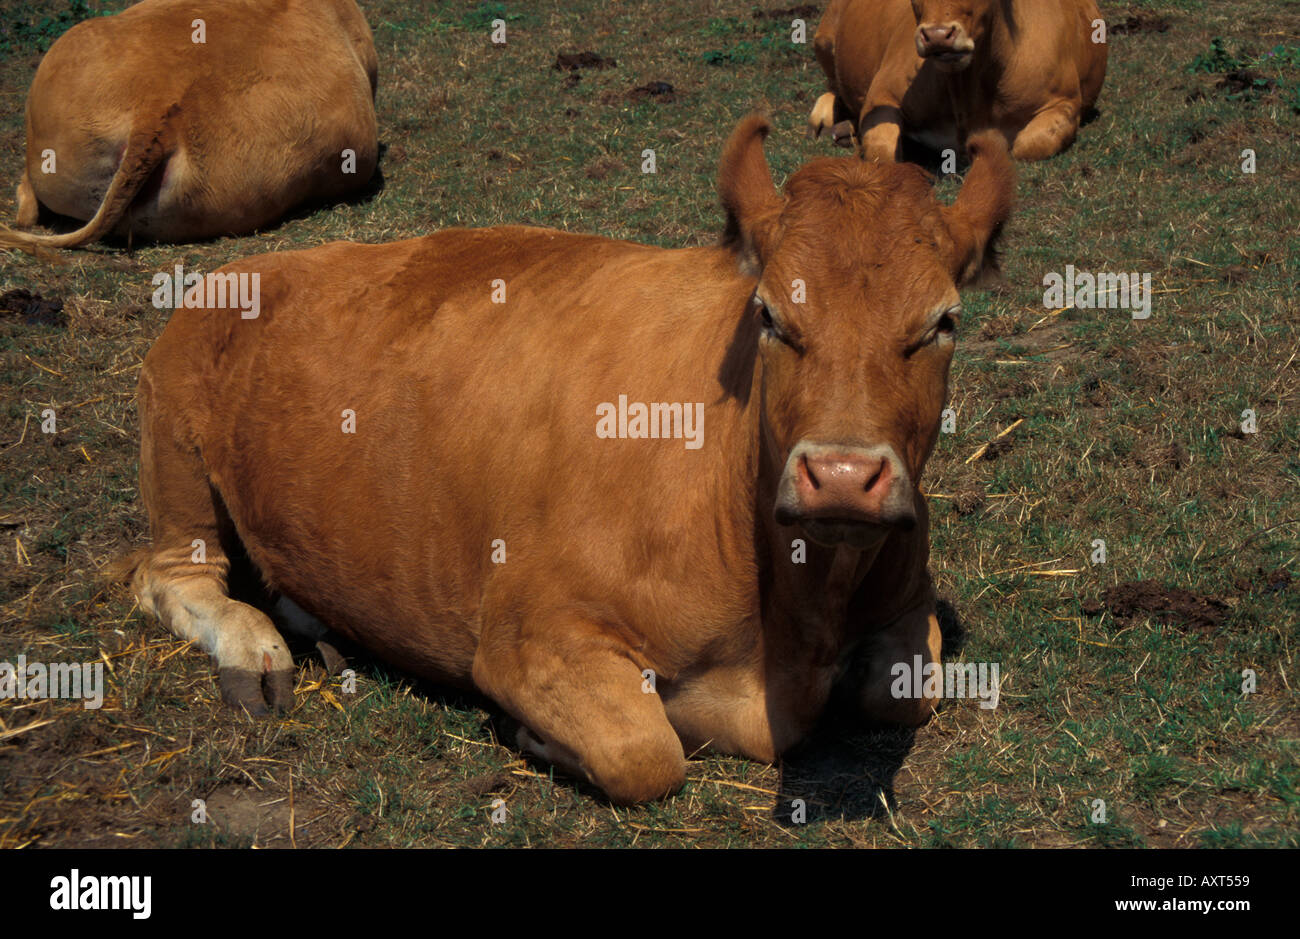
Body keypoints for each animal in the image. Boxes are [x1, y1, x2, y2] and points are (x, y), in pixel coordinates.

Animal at [121, 115, 1014, 804]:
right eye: (771, 315)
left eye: (943, 321)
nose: (841, 479)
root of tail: (252, 265)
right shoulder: (530, 632)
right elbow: (643, 753)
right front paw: (537, 736)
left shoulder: (907, 595)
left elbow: (904, 688)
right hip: (177, 444)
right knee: (172, 577)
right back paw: (255, 648)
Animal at [809, 0, 1108, 162]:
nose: (938, 35)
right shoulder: (882, 95)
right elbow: (882, 149)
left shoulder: (1065, 101)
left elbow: (1029, 144)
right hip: (824, 38)